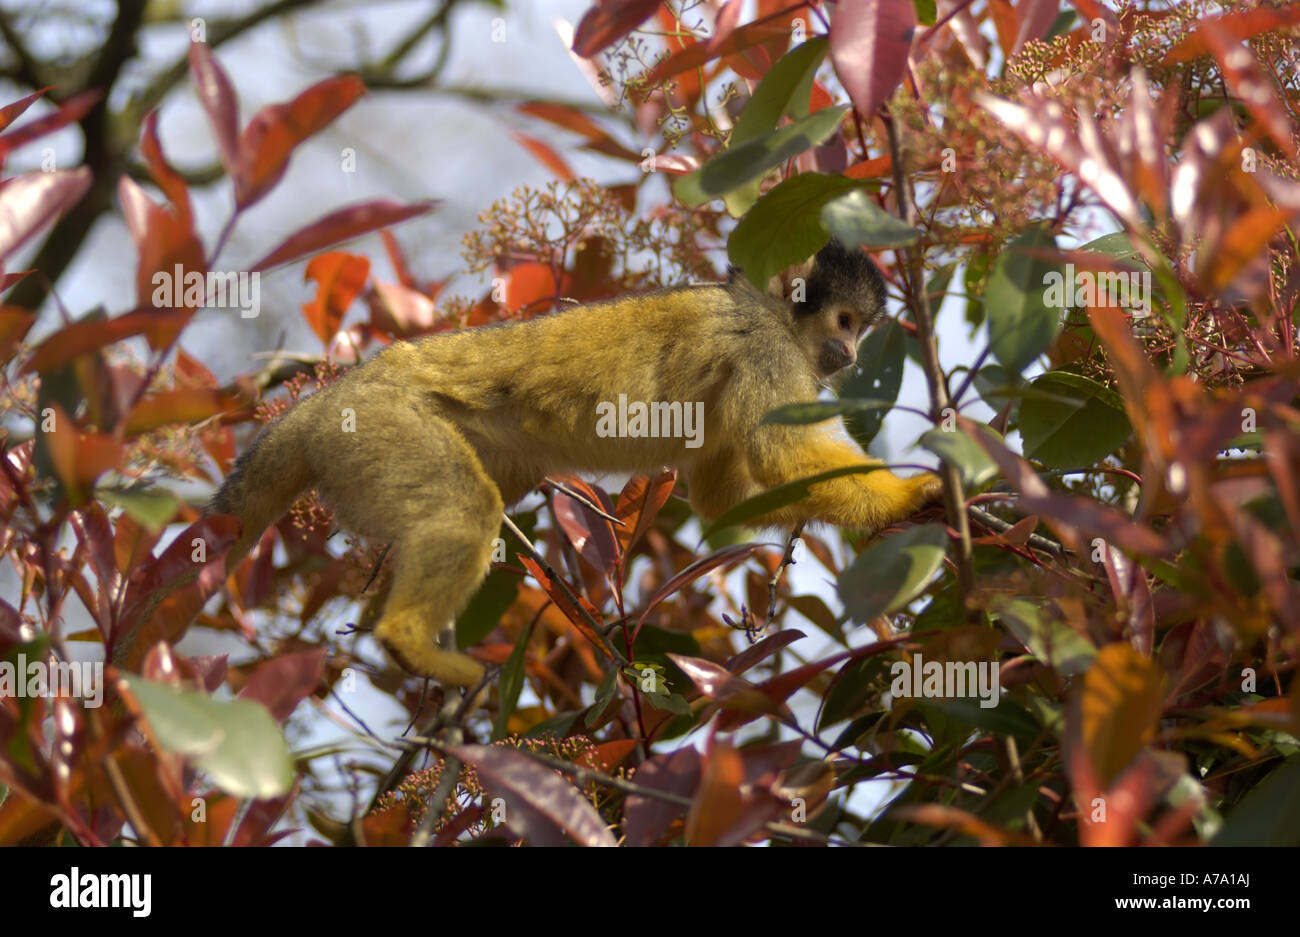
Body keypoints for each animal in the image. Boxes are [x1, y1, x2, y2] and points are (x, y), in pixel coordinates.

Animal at [208, 238, 944, 688]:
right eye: (845, 321)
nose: (850, 355)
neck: (769, 309)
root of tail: (328, 398)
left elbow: (720, 495)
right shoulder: (767, 346)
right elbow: (780, 450)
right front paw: (913, 497)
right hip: (379, 423)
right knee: (464, 507)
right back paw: (409, 638)